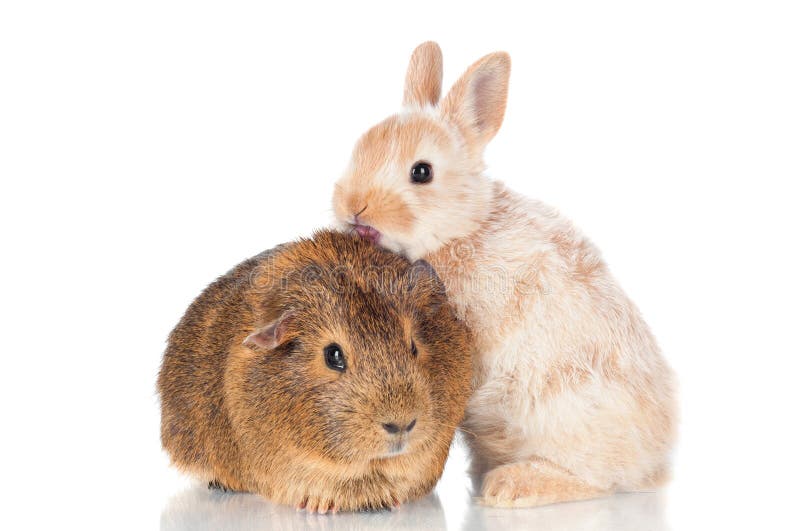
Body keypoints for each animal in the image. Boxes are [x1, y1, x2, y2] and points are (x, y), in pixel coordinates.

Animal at [332, 42, 677, 507]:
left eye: (421, 172)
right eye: (360, 147)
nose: (354, 206)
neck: (461, 230)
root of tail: (655, 461)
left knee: (596, 479)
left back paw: (510, 487)